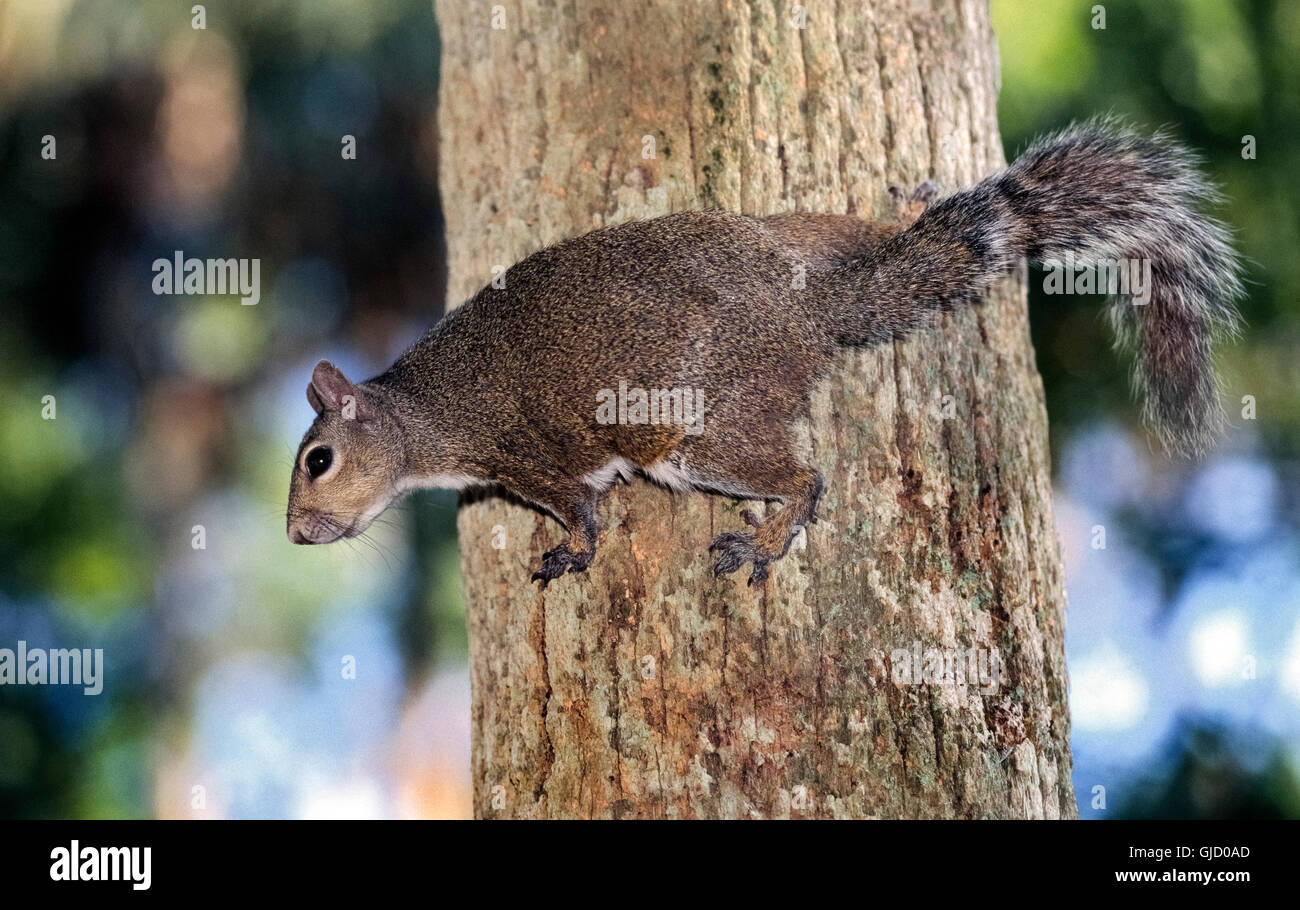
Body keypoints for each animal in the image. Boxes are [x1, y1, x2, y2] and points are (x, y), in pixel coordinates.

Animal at [286, 119, 1243, 586]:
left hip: (699, 430)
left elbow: (583, 513)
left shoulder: (524, 457)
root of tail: (805, 317)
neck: (421, 414)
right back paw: (903, 214)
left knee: (806, 477)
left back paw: (769, 538)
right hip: (785, 235)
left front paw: (571, 556)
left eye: (317, 459)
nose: (296, 535)